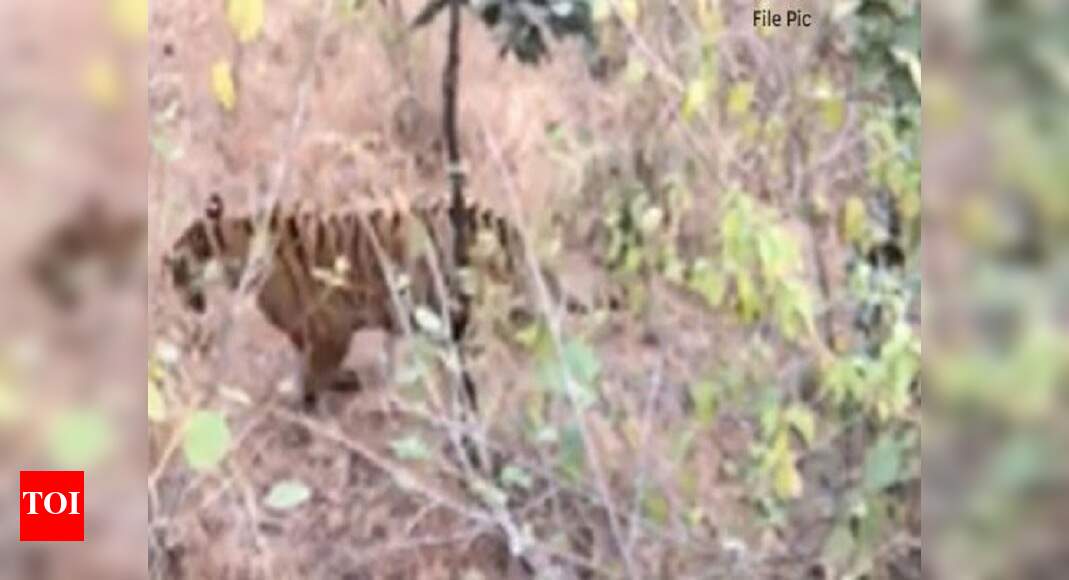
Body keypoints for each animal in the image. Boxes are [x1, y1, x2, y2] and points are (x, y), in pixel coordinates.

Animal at [164, 193, 559, 408]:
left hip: (494, 314)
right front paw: (344, 383)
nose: (178, 297)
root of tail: (507, 226)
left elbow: (314, 377)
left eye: (175, 267)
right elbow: (311, 368)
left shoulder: (331, 330)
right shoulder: (306, 331)